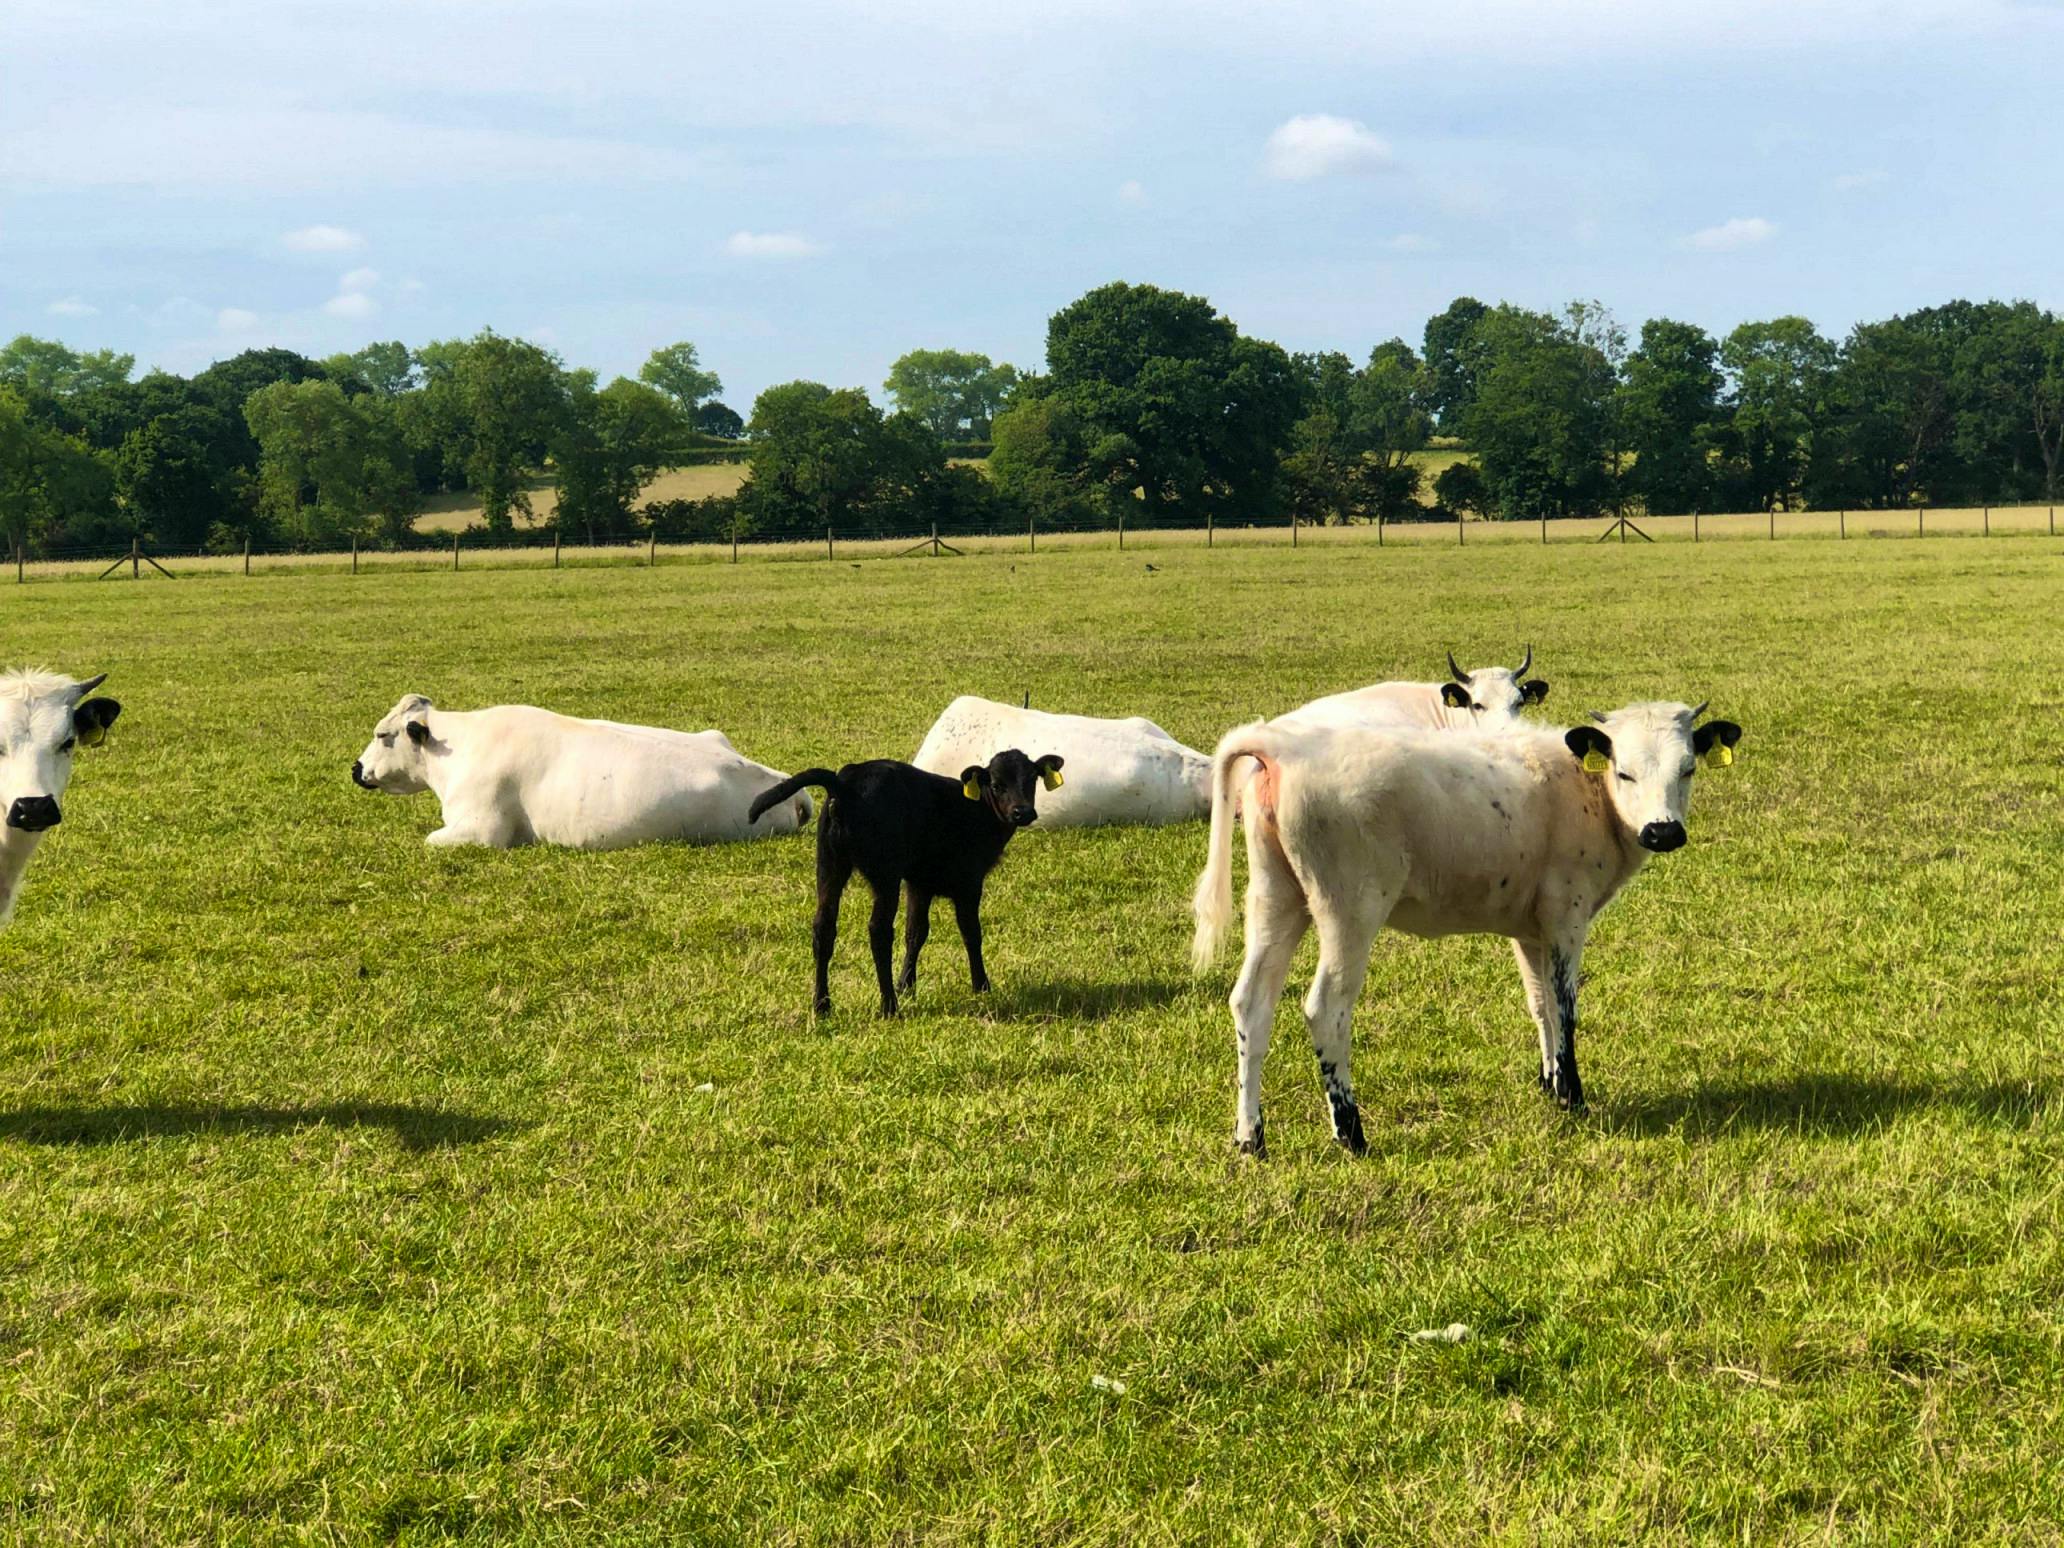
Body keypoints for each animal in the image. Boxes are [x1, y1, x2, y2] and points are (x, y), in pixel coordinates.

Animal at [747, 748, 1062, 1017]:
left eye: (1032, 779)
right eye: (996, 784)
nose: (1023, 812)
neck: (977, 810)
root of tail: (845, 782)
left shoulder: (919, 882)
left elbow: (916, 932)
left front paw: (906, 985)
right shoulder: (969, 881)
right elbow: (971, 933)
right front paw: (981, 985)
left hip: (829, 864)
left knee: (823, 928)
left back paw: (822, 1005)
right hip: (885, 873)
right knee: (879, 931)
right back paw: (889, 1006)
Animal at [1191, 700, 1743, 1156]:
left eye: (1688, 769)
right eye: (1623, 772)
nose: (1663, 831)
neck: (1586, 793)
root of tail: (1285, 747)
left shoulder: (1531, 929)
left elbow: (1540, 1004)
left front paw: (1550, 1084)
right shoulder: (1567, 916)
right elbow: (1565, 1008)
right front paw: (1574, 1098)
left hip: (1275, 898)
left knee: (1251, 1004)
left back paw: (1251, 1138)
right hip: (1348, 908)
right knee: (1326, 1009)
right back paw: (1351, 1133)